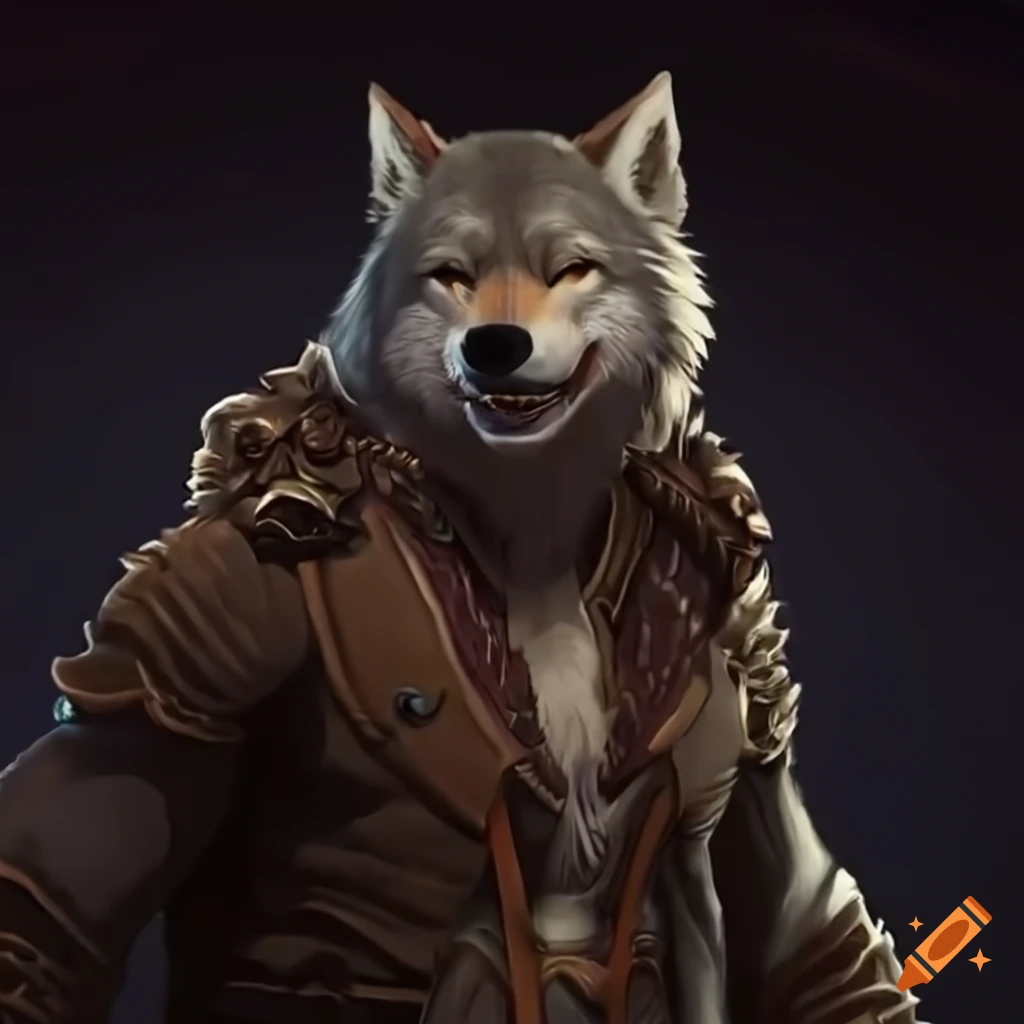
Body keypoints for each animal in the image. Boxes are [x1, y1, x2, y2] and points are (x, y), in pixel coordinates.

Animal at [0, 73, 924, 1024]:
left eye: (570, 269)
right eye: (452, 276)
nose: (496, 345)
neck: (528, 534)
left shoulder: (744, 662)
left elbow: (799, 926)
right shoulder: (215, 611)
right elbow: (48, 900)